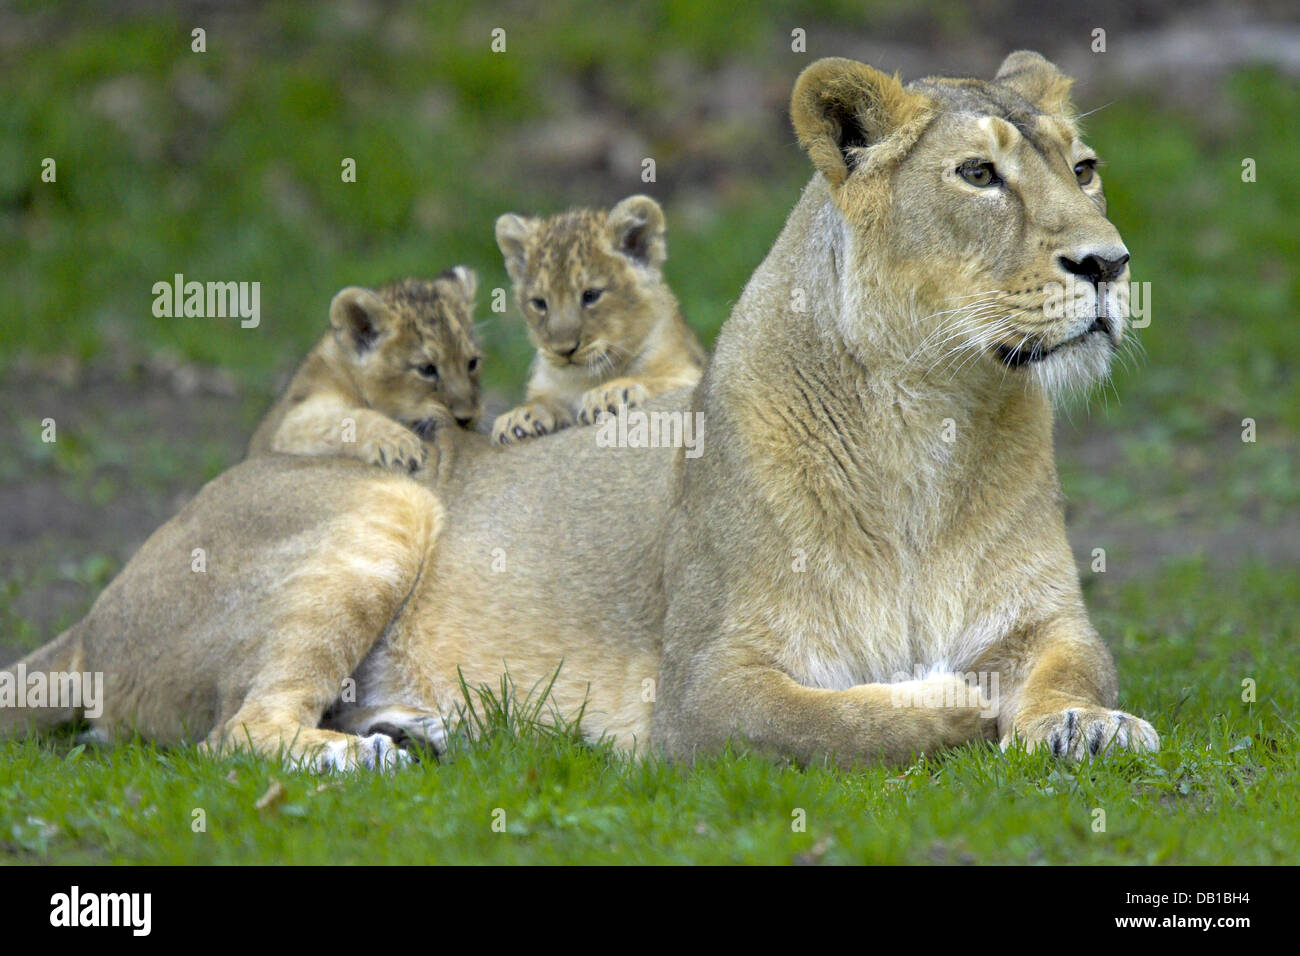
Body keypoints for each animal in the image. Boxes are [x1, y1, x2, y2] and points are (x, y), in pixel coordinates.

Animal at [1, 52, 1156, 770]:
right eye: (978, 175)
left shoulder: (1050, 619)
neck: (934, 420)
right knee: (236, 732)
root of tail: (94, 612)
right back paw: (361, 753)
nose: (1108, 264)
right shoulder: (706, 688)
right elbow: (846, 723)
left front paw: (1089, 725)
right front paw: (954, 698)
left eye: (1084, 167)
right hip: (384, 503)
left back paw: (419, 732)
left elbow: (1072, 669)